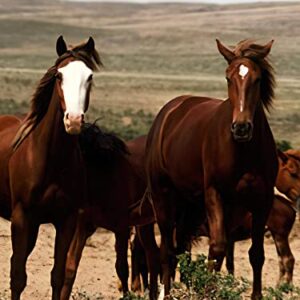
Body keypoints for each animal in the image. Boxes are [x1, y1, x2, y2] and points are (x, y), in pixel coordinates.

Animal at [0, 35, 101, 300]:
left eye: (89, 76)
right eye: (59, 76)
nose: (73, 120)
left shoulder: (66, 220)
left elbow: (58, 276)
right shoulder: (21, 217)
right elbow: (18, 277)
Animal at [60, 127, 161, 300]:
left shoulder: (122, 229)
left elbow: (122, 267)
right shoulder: (82, 227)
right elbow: (70, 267)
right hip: (144, 224)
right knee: (152, 254)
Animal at [144, 39, 278, 298]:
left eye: (257, 79)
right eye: (228, 78)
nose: (241, 128)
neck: (243, 150)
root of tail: (169, 112)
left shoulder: (261, 201)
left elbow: (255, 254)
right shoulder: (214, 194)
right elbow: (216, 249)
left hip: (190, 206)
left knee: (180, 248)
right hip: (163, 197)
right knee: (166, 251)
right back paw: (167, 292)